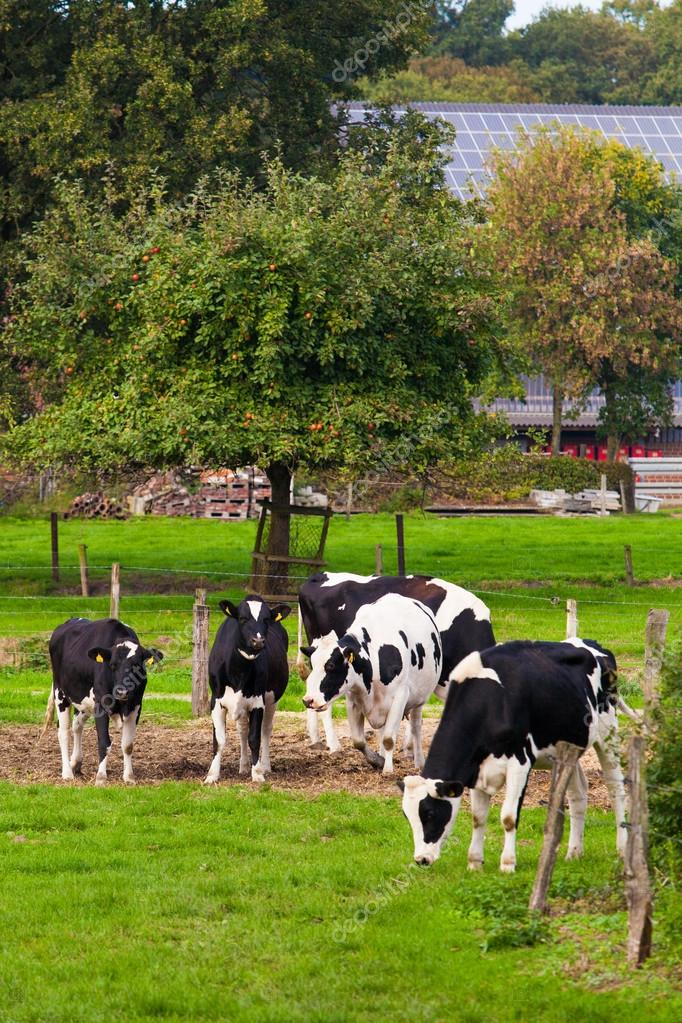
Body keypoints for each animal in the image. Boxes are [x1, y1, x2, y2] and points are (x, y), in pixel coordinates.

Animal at [43, 617, 163, 785]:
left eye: (137, 665)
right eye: (112, 665)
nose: (121, 691)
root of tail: (70, 620)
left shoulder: (136, 706)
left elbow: (128, 745)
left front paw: (129, 777)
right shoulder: (101, 705)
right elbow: (104, 743)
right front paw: (100, 777)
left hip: (82, 700)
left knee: (77, 726)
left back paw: (75, 763)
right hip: (60, 693)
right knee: (63, 732)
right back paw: (67, 772)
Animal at [204, 596, 291, 785]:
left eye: (266, 620)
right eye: (243, 619)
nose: (258, 641)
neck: (239, 671)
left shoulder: (258, 702)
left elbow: (255, 738)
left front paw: (257, 773)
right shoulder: (215, 701)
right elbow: (219, 740)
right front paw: (212, 775)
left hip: (272, 699)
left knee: (266, 730)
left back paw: (264, 766)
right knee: (242, 730)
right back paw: (243, 765)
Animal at [303, 593, 443, 774]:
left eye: (331, 666)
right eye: (312, 665)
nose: (308, 700)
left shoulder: (400, 696)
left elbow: (389, 738)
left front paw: (388, 770)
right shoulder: (353, 700)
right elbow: (358, 741)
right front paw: (377, 760)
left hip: (419, 699)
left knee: (416, 727)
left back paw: (419, 762)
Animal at [399, 638, 626, 872]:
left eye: (429, 813)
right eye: (407, 816)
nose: (421, 859)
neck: (492, 702)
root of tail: (592, 644)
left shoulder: (520, 763)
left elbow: (508, 817)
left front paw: (507, 864)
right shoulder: (476, 768)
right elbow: (478, 817)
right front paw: (475, 862)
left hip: (608, 733)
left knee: (615, 788)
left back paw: (622, 849)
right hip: (570, 749)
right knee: (578, 793)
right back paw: (574, 852)